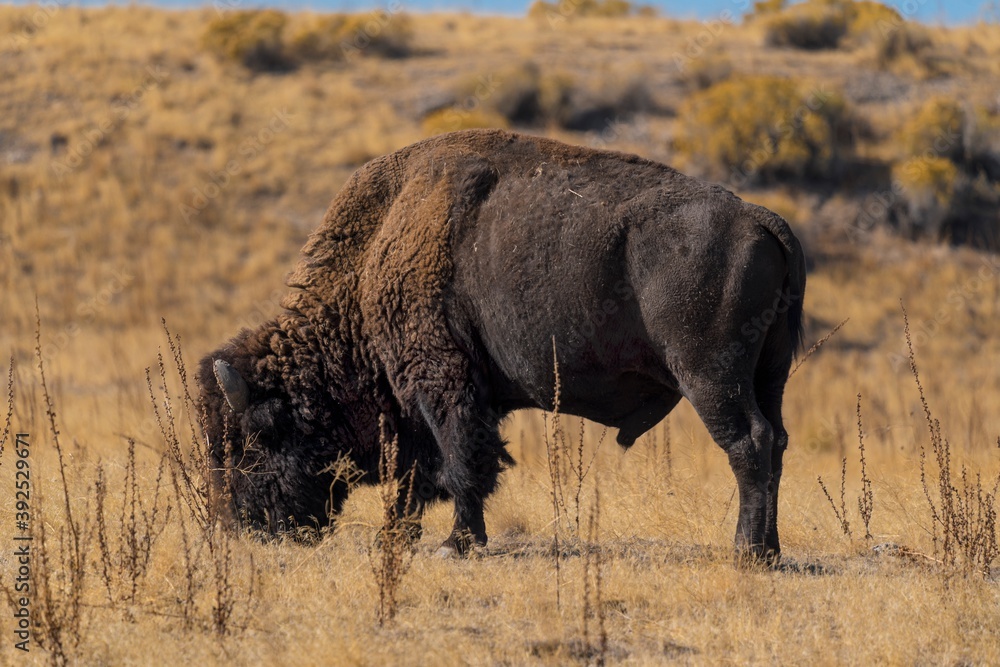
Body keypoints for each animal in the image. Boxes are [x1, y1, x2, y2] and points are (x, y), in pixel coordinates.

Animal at [198, 129, 805, 564]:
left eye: (252, 442)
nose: (241, 525)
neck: (375, 254)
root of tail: (760, 218)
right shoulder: (419, 399)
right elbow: (421, 470)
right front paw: (396, 537)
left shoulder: (442, 383)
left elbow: (460, 461)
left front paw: (455, 544)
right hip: (768, 377)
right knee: (775, 441)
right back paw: (771, 550)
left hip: (710, 377)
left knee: (748, 442)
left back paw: (747, 553)